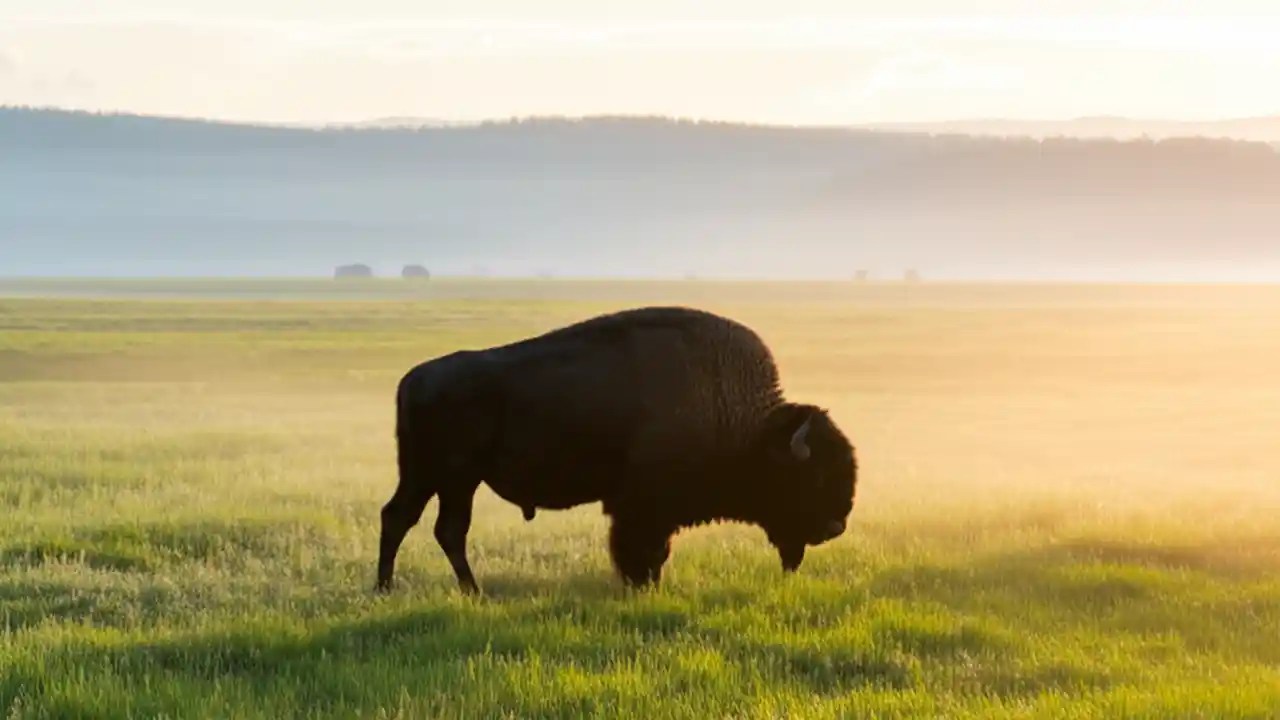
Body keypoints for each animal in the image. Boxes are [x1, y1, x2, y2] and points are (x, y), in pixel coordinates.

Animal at [376, 306, 858, 594]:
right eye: (811, 475)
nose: (835, 526)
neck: (745, 423)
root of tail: (412, 379)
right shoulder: (641, 508)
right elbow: (643, 549)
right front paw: (641, 585)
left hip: (437, 478)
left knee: (415, 521)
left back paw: (411, 589)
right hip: (450, 477)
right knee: (434, 526)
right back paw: (455, 591)